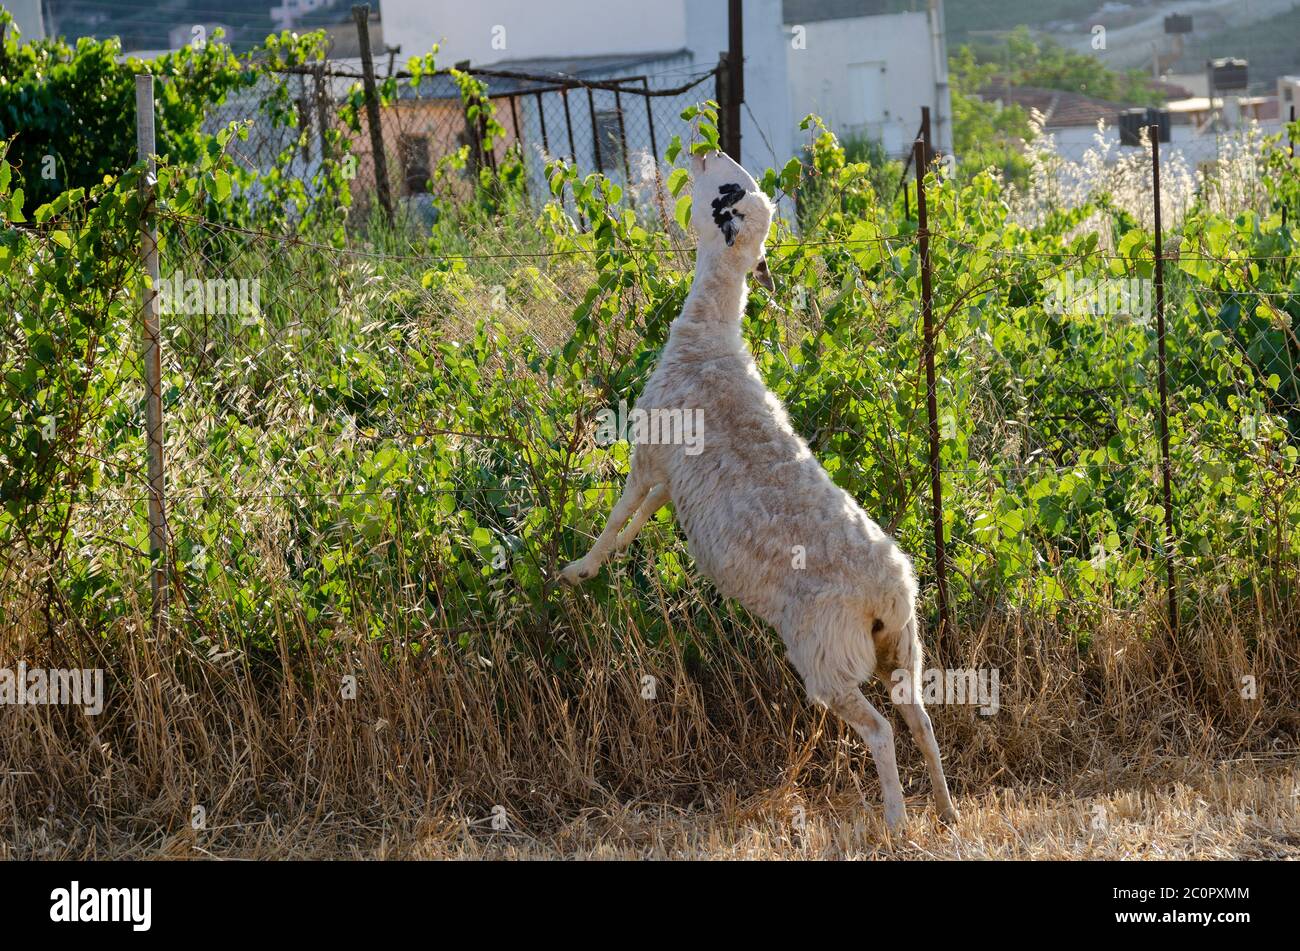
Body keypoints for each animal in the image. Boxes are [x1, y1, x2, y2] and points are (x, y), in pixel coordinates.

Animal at [559, 149, 957, 829]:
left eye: (726, 189)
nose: (702, 152)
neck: (710, 336)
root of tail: (890, 593)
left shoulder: (649, 455)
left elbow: (615, 519)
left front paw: (577, 572)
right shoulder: (671, 483)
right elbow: (637, 520)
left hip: (825, 656)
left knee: (881, 731)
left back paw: (897, 822)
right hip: (902, 651)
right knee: (922, 721)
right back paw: (947, 810)